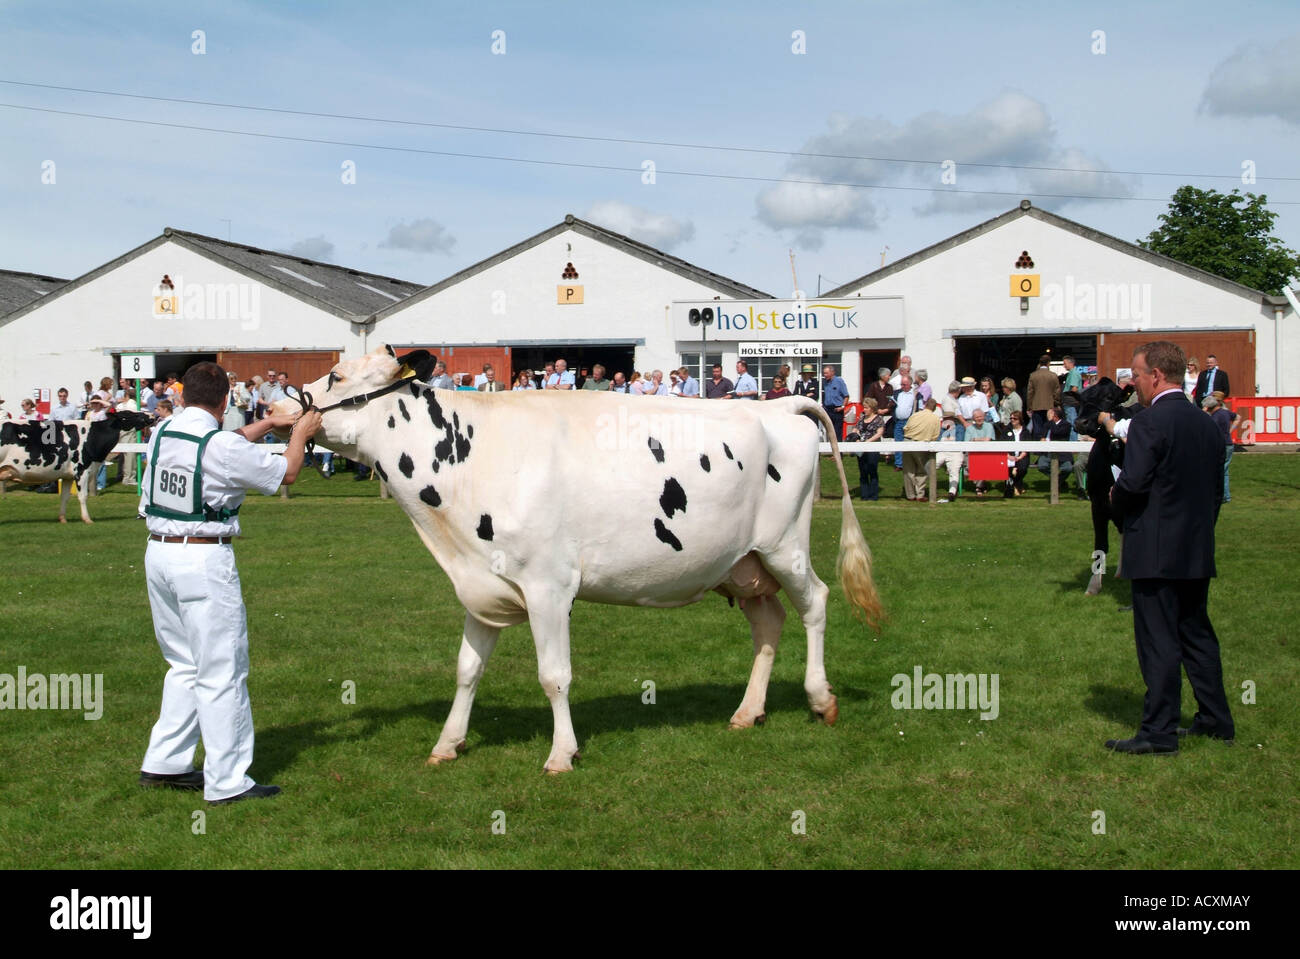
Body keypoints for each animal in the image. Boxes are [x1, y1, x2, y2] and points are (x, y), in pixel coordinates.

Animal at [0, 411, 155, 523]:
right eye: (131, 415)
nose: (152, 415)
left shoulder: (67, 475)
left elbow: (65, 497)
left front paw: (62, 519)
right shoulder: (82, 470)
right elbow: (82, 496)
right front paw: (87, 519)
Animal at [276, 346, 881, 773]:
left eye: (336, 377)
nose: (283, 404)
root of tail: (781, 404)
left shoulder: (549, 586)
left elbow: (554, 675)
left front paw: (561, 754)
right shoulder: (481, 583)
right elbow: (467, 670)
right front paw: (447, 743)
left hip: (785, 546)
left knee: (816, 603)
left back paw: (820, 699)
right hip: (743, 563)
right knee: (769, 622)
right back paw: (746, 712)